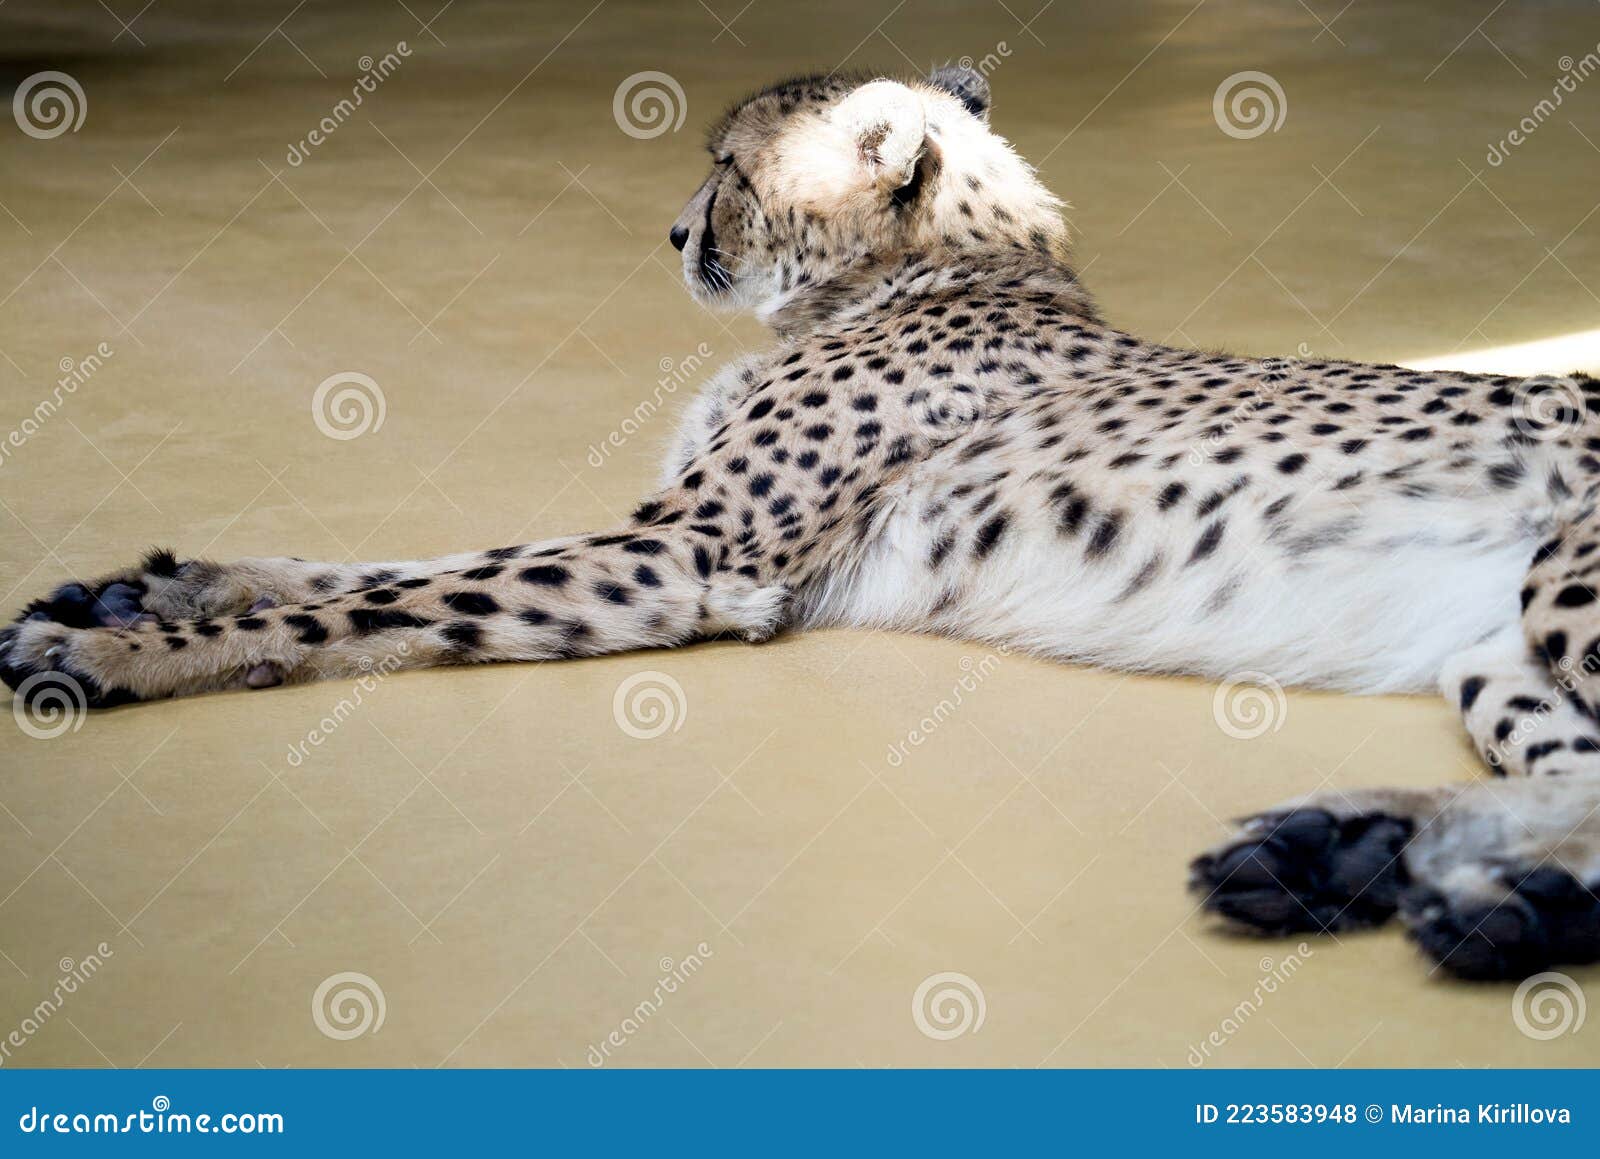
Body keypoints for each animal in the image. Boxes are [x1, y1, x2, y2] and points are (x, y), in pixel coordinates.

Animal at [7, 66, 1600, 982]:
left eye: (724, 169)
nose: (668, 233)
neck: (932, 271)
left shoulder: (687, 560)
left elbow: (378, 604)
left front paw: (120, 658)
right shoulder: (655, 532)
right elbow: (401, 561)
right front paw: (139, 593)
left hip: (1556, 586)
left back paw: (1414, 874)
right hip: (1492, 649)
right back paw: (1402, 869)